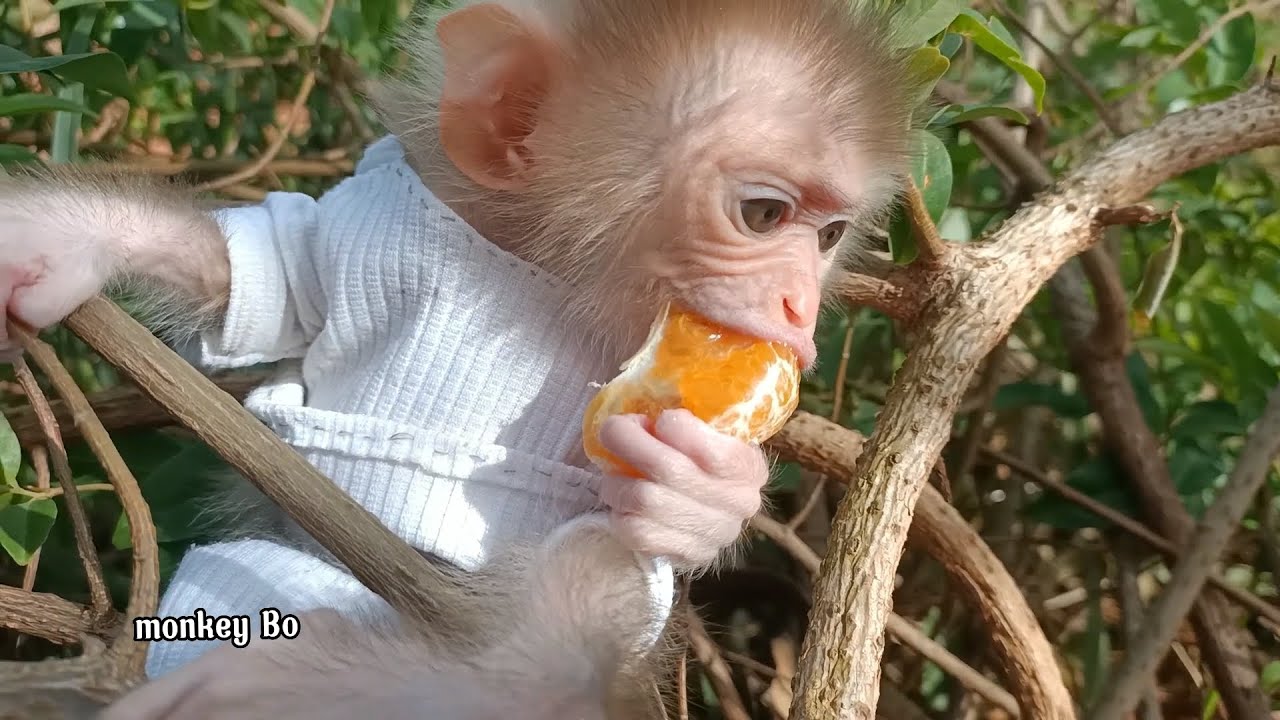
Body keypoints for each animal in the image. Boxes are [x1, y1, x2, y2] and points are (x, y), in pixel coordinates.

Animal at [0, 0, 920, 716]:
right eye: (764, 215)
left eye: (830, 236)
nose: (800, 305)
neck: (541, 272)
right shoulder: (378, 222)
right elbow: (270, 277)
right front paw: (64, 235)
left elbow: (614, 572)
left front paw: (700, 492)